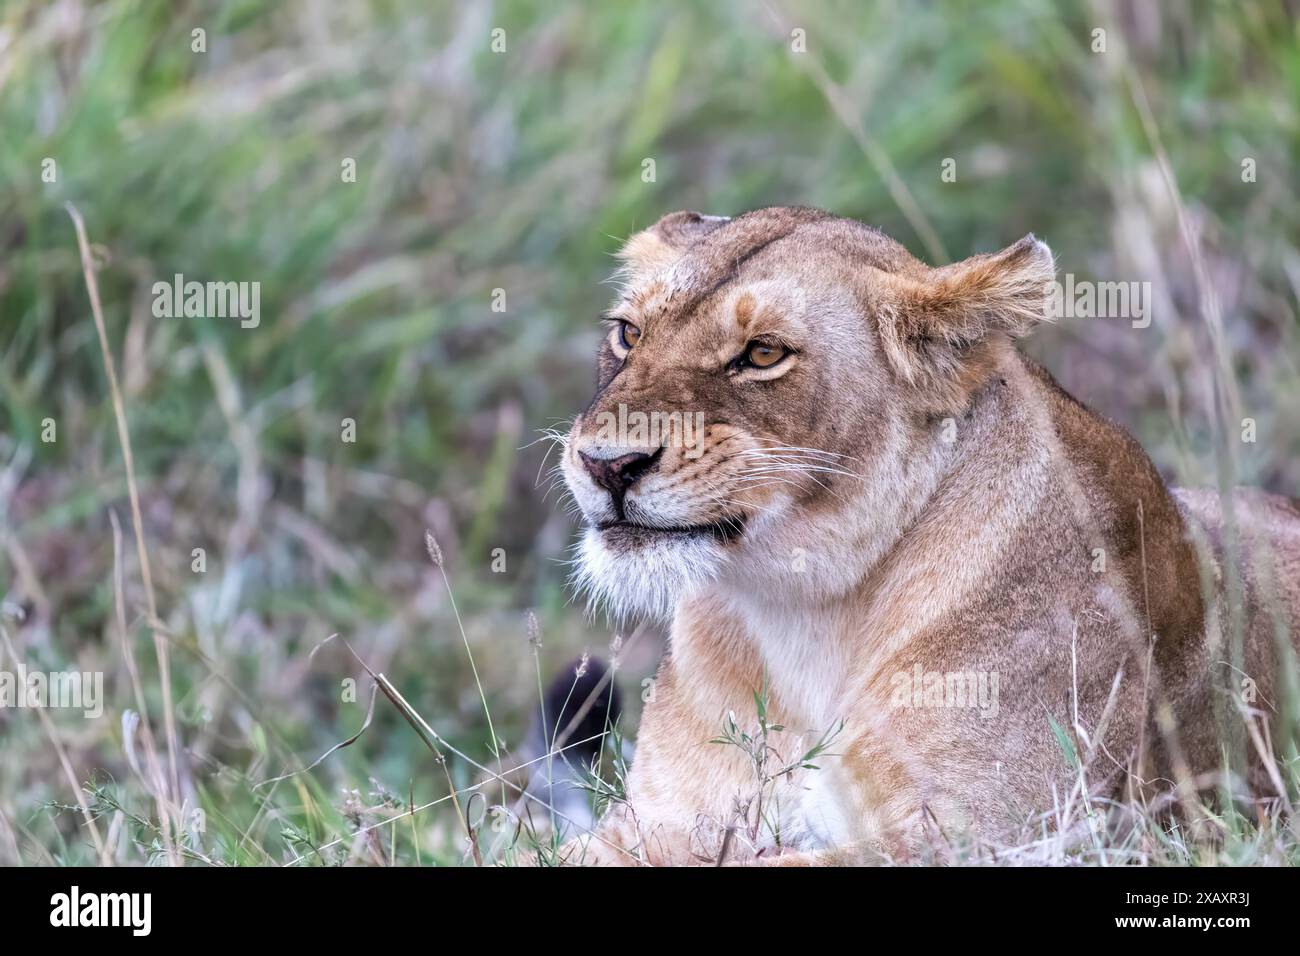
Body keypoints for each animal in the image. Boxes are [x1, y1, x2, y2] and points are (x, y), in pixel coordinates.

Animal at [558, 206, 1300, 865]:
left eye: (763, 353)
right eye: (628, 333)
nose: (608, 464)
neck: (803, 611)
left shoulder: (993, 840)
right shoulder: (655, 821)